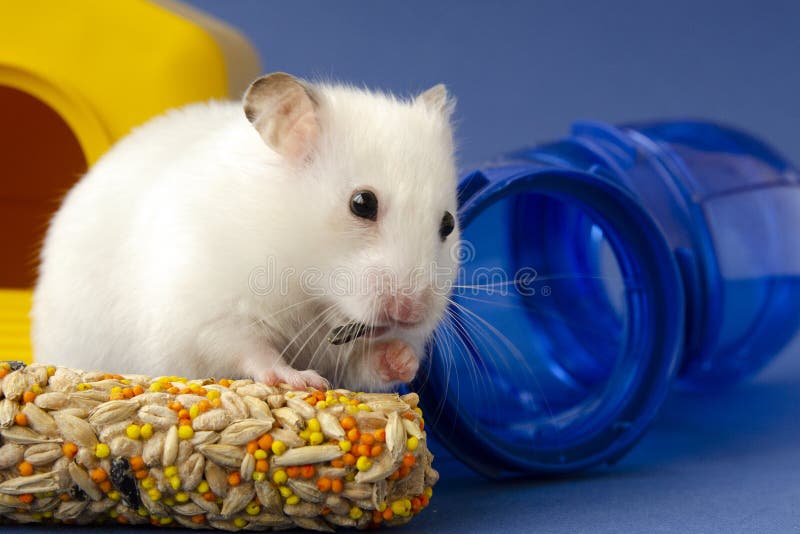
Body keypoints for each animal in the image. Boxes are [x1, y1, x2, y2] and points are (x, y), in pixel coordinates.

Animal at [31, 72, 460, 392]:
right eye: (362, 203)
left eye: (448, 224)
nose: (412, 313)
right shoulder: (207, 315)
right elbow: (249, 348)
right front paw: (301, 379)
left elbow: (366, 363)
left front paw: (404, 359)